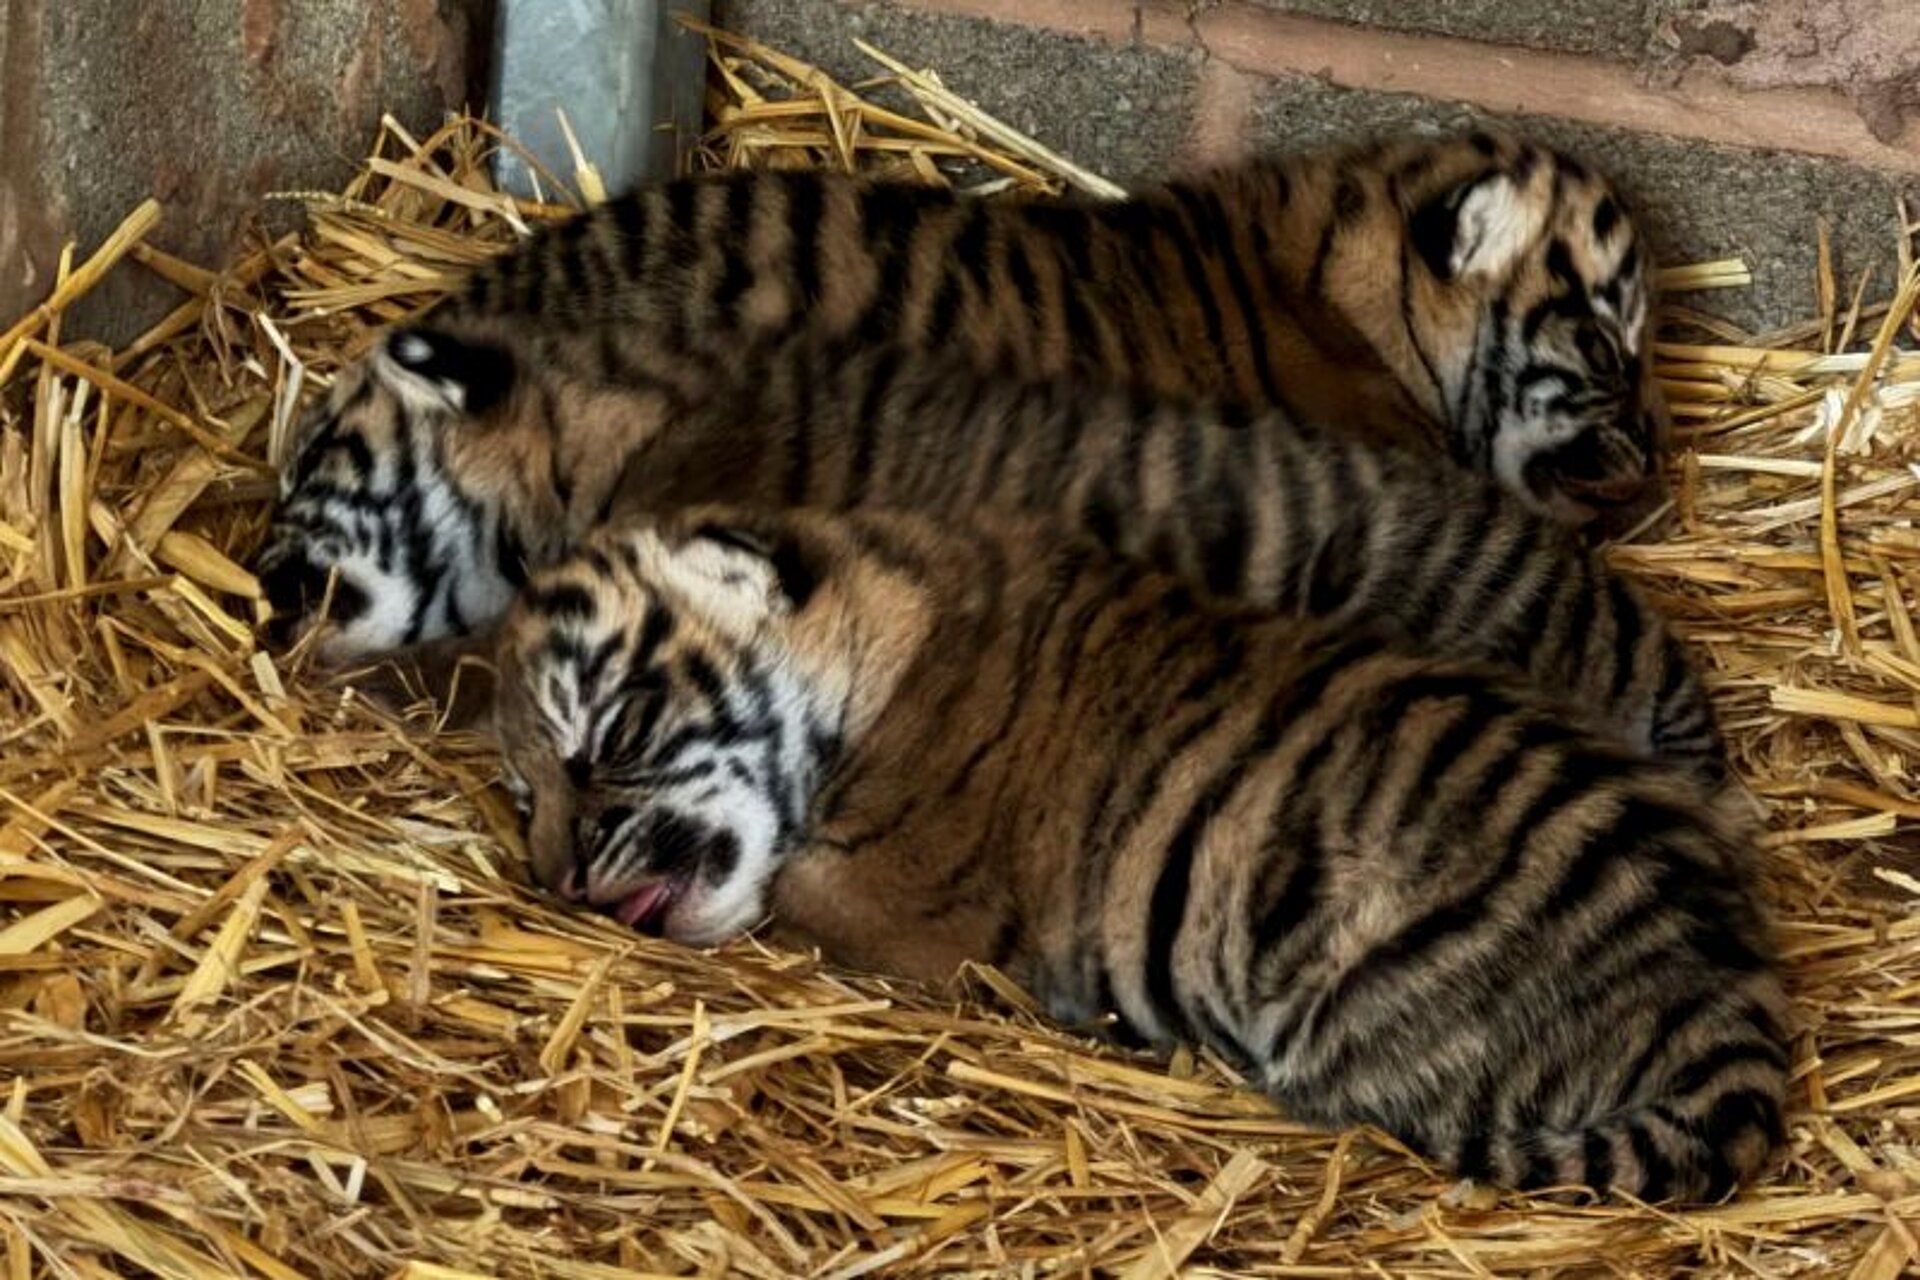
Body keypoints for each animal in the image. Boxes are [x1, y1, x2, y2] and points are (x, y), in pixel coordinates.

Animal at [490, 503, 1788, 1203]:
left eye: (609, 734)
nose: (564, 879)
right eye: (522, 792)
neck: (884, 619)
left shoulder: (900, 904)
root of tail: (1728, 1011)